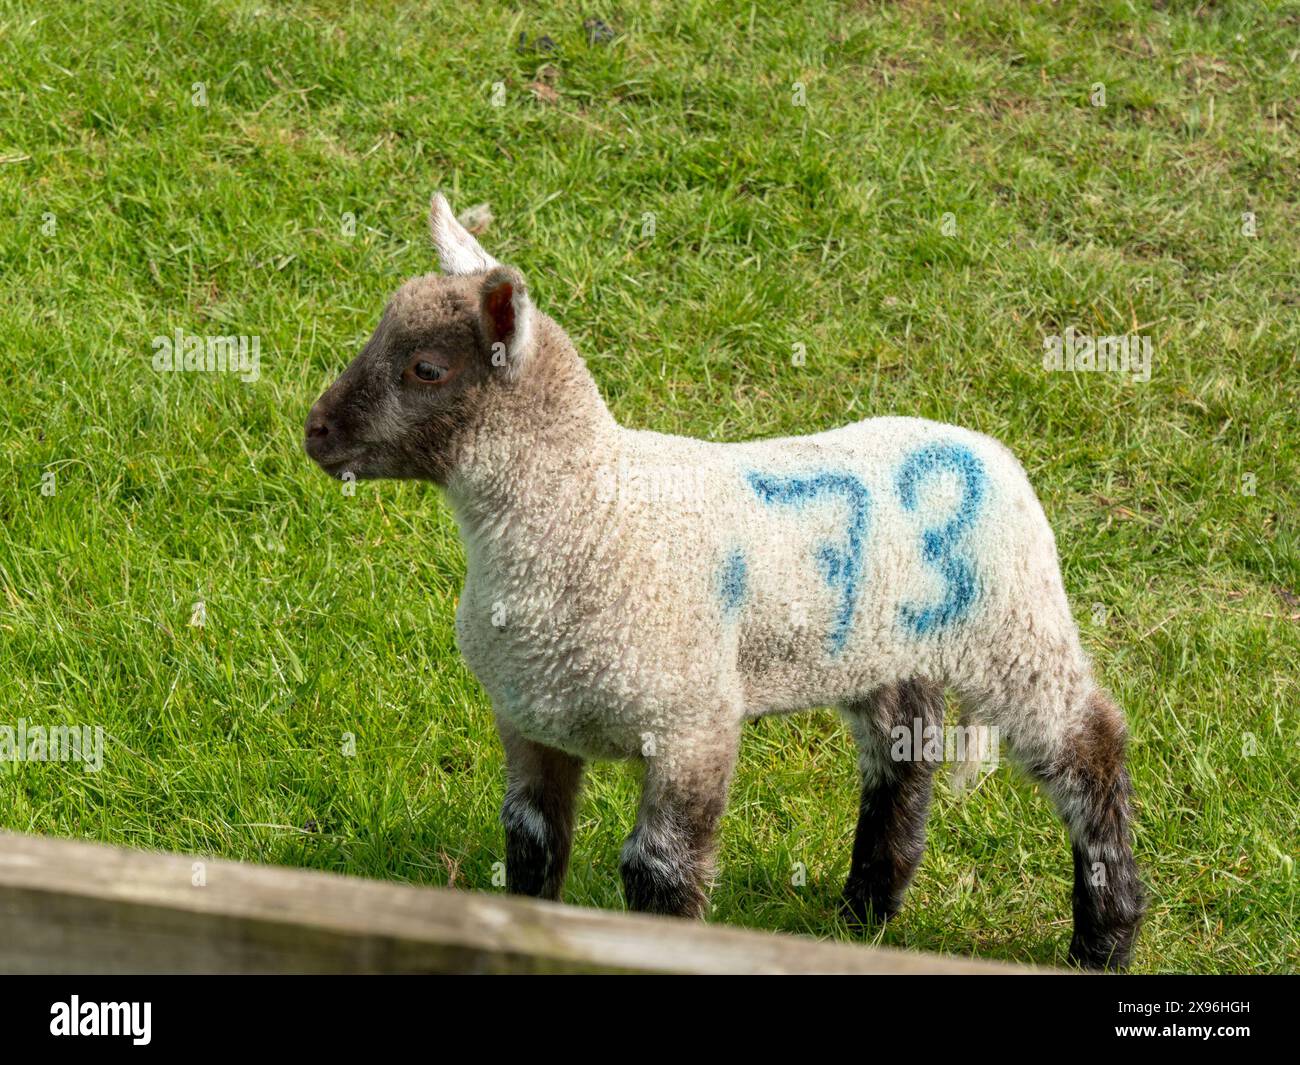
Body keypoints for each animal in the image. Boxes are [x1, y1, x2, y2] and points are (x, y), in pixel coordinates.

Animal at [304, 194, 1145, 969]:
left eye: (426, 368)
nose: (315, 430)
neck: (590, 508)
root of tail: (986, 449)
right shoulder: (530, 720)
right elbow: (533, 842)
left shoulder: (692, 723)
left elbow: (659, 868)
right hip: (882, 643)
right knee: (905, 749)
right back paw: (866, 909)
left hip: (1015, 626)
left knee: (1088, 744)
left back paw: (1105, 934)